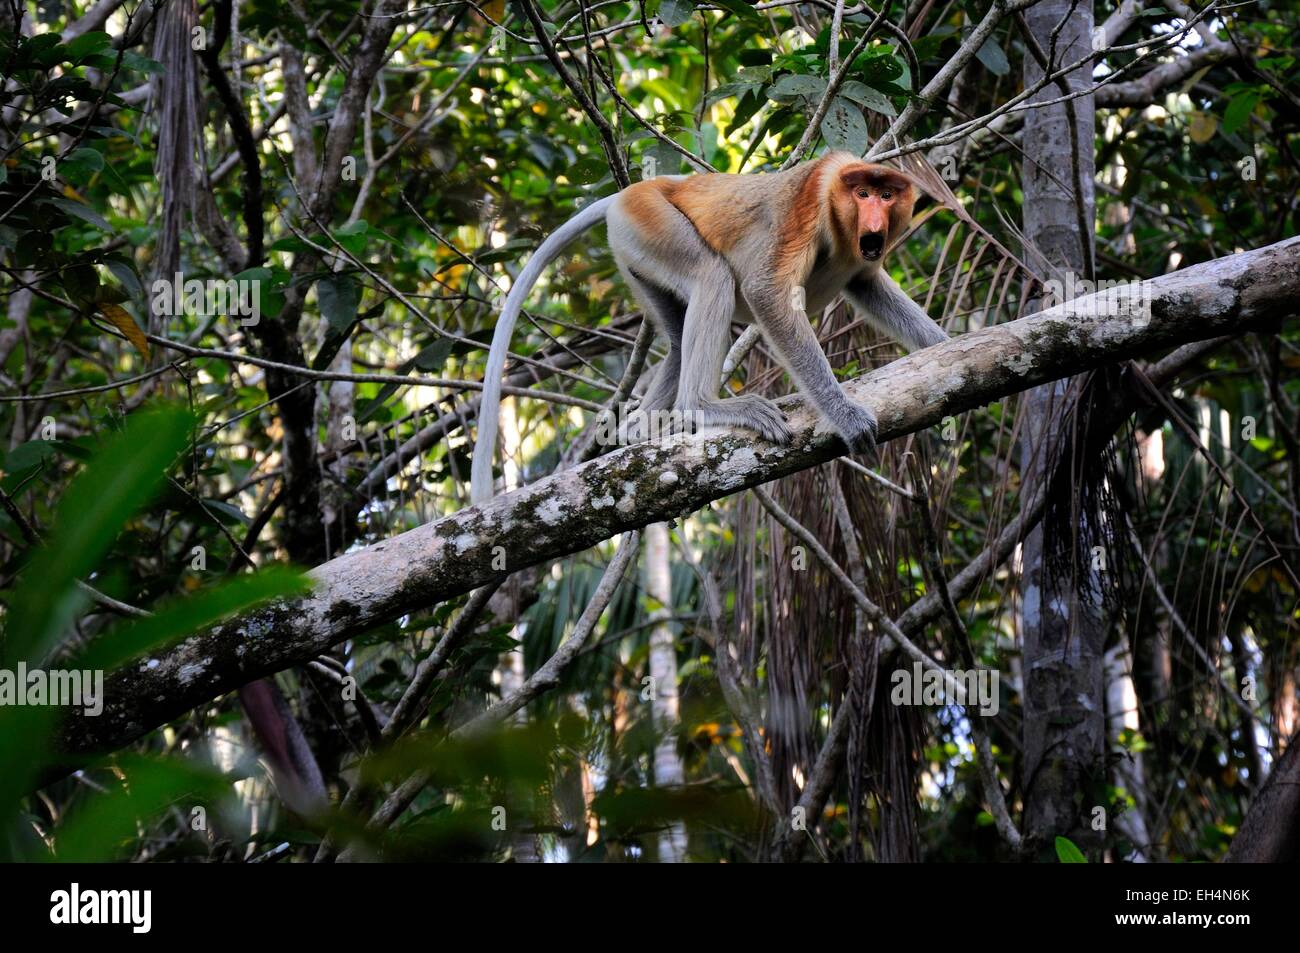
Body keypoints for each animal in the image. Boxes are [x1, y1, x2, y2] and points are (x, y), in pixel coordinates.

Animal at [469, 150, 949, 504]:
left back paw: (639, 428)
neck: (836, 198)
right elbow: (766, 292)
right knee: (710, 275)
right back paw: (700, 407)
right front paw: (847, 416)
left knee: (679, 339)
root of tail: (645, 186)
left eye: (887, 195)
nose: (875, 221)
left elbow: (868, 286)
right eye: (862, 193)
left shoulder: (861, 264)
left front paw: (950, 346)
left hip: (635, 256)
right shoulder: (806, 203)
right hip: (649, 221)